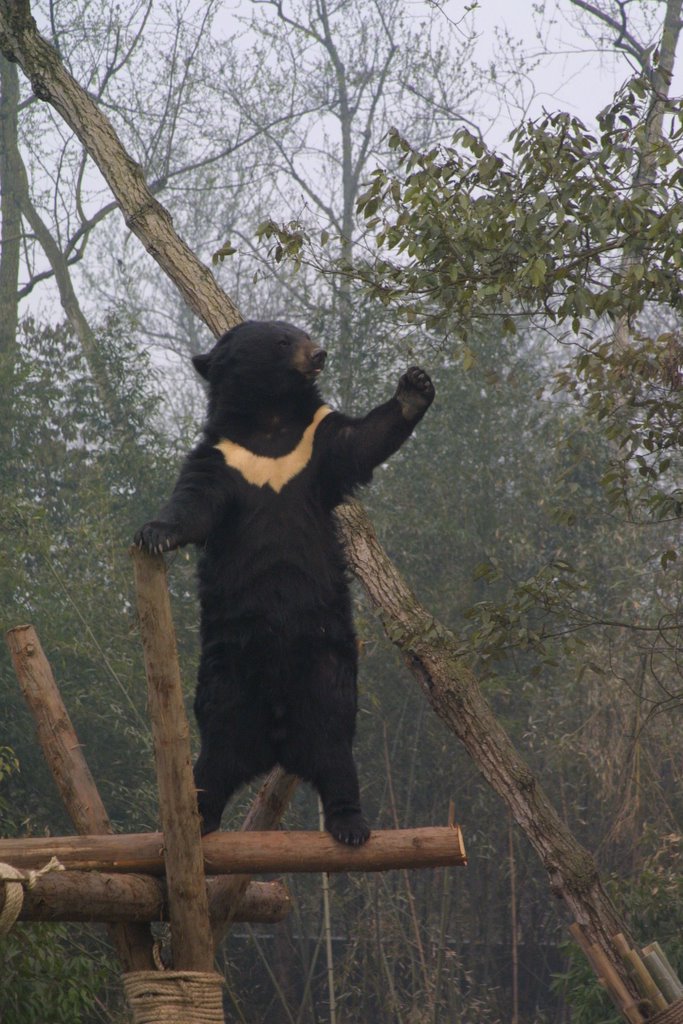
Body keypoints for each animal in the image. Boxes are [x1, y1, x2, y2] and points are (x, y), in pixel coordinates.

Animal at [134, 320, 434, 846]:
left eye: (303, 332)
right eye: (282, 341)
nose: (319, 354)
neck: (270, 421)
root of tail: (276, 742)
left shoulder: (315, 442)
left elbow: (360, 440)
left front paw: (415, 385)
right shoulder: (223, 458)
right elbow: (193, 502)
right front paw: (153, 532)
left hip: (326, 671)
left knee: (336, 750)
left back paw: (351, 825)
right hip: (227, 682)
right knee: (214, 754)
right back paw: (198, 818)